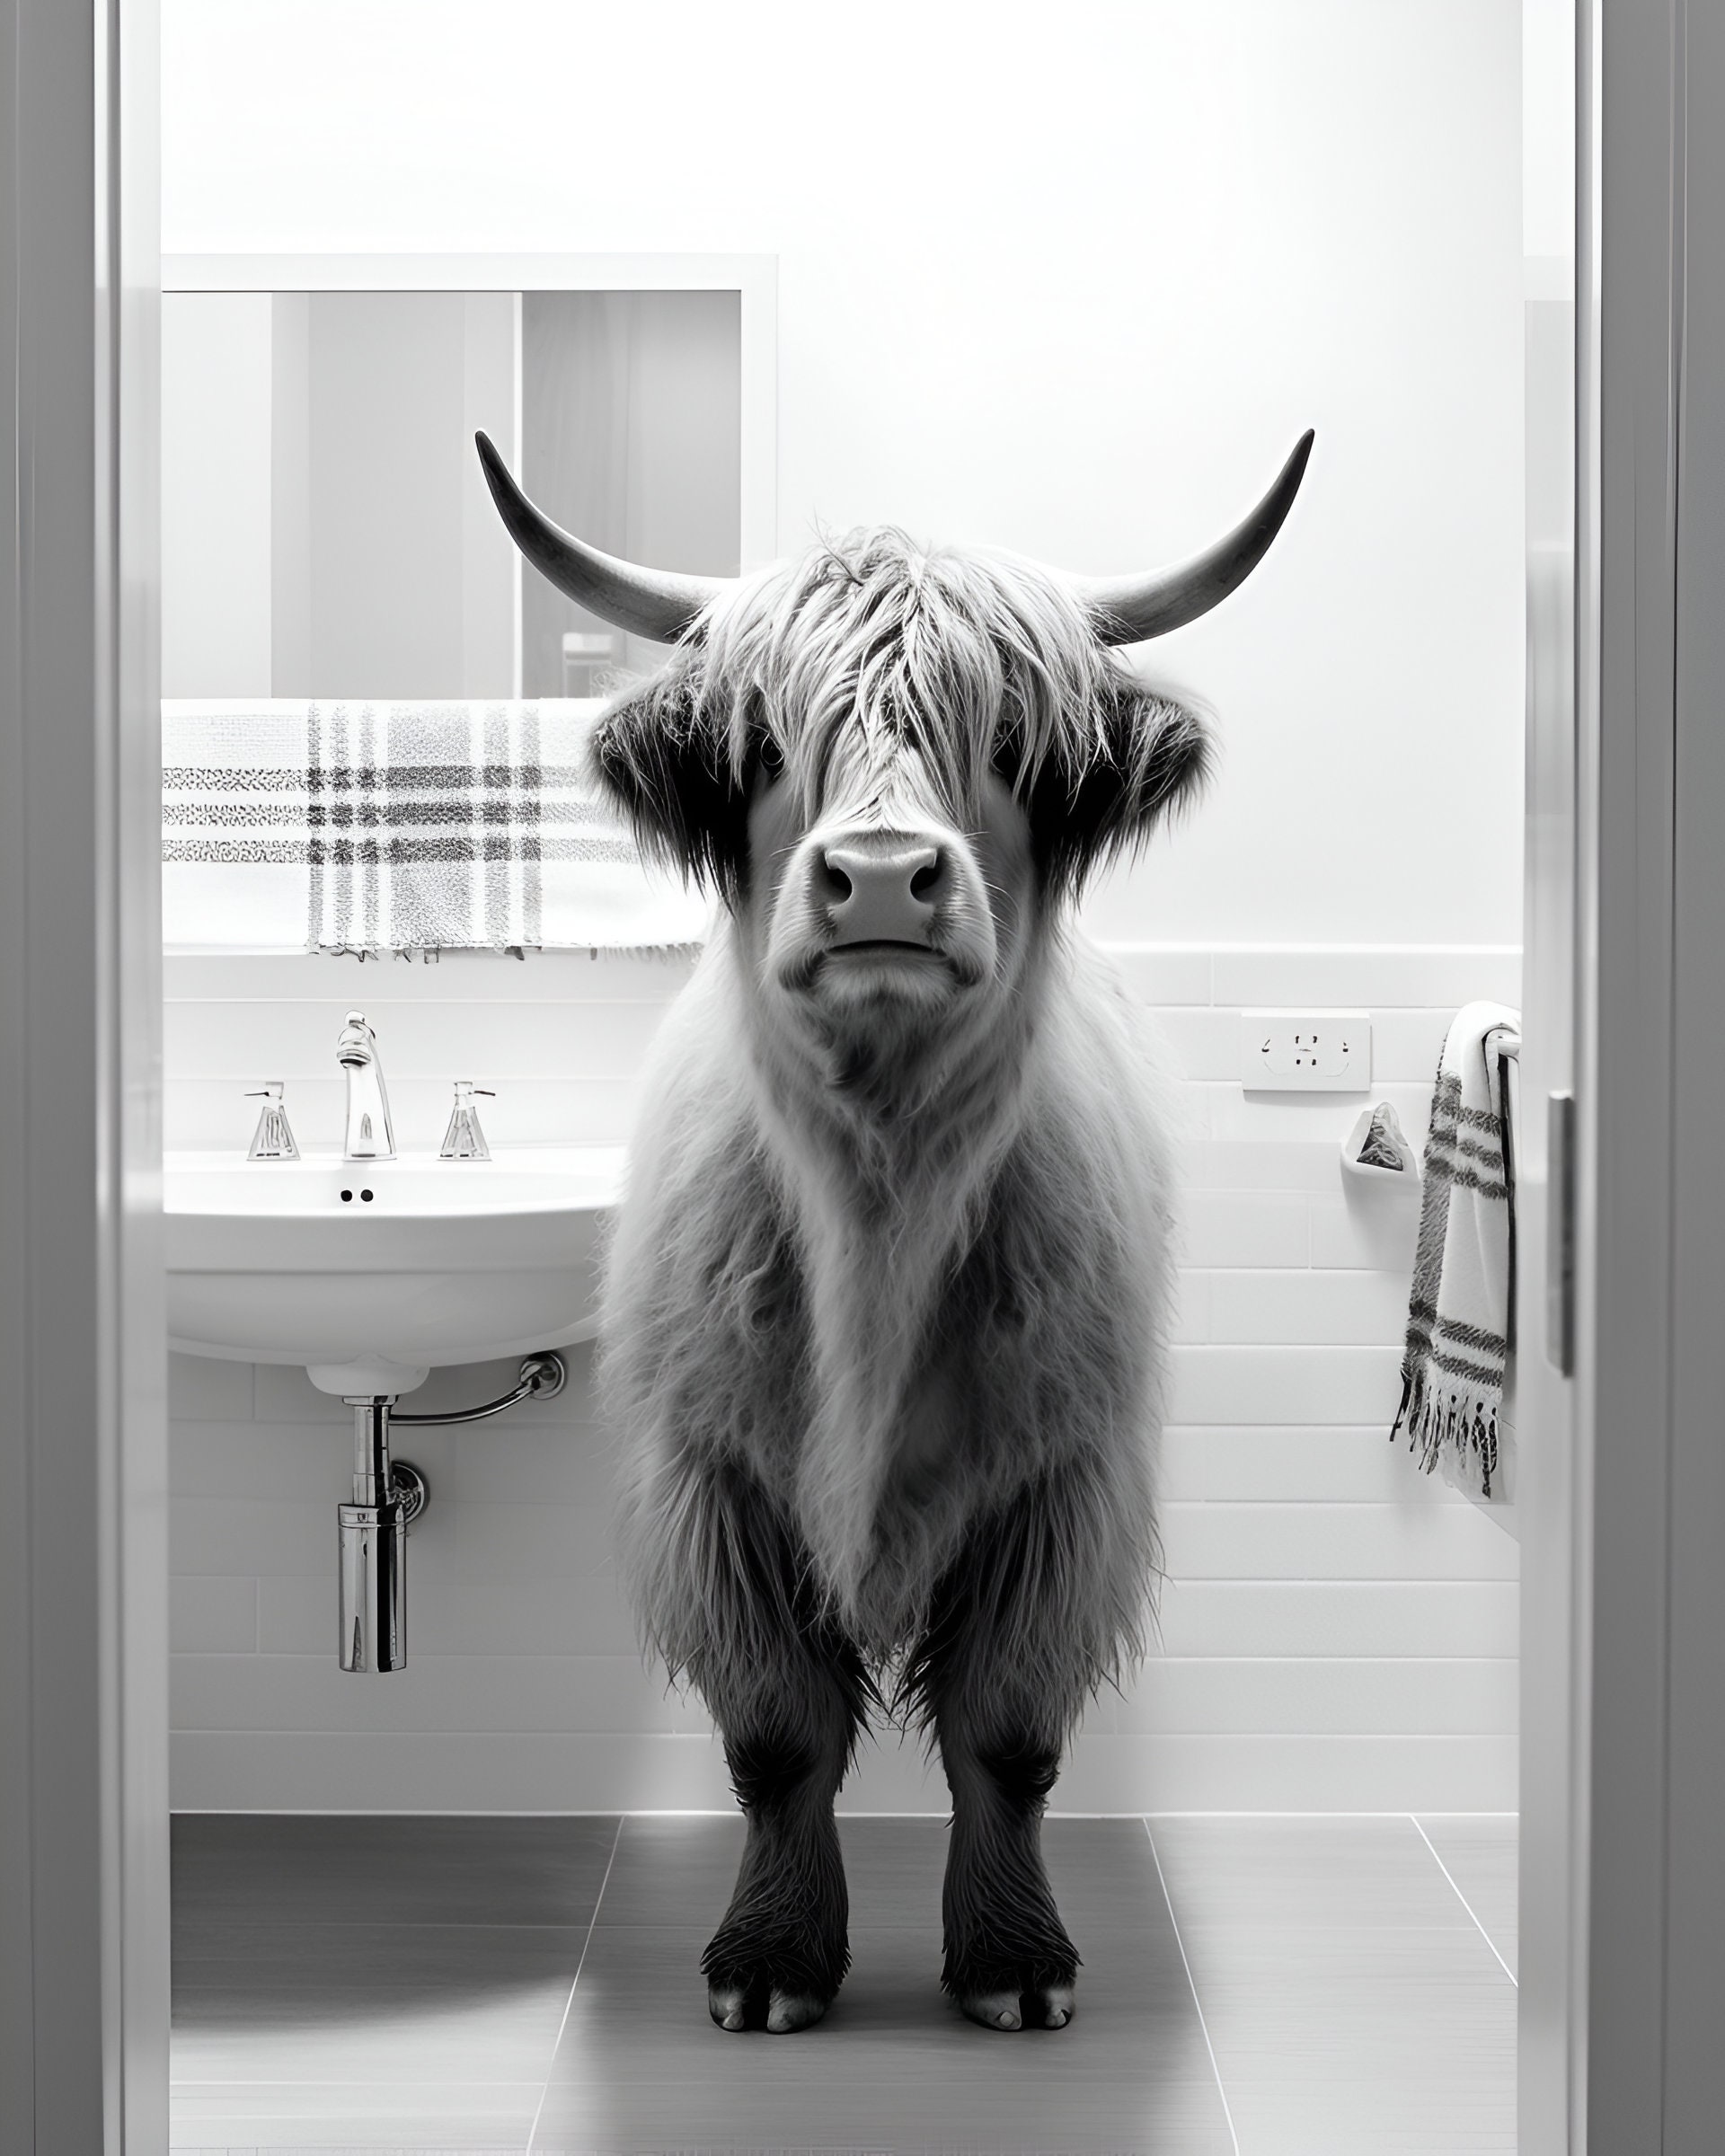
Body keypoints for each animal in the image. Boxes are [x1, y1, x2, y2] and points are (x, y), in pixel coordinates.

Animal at [478, 427, 1311, 2036]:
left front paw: (1014, 1963)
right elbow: (779, 1741)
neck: (880, 1205)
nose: (875, 876)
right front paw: (768, 1966)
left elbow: (1008, 1740)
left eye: (1010, 741)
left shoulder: (1062, 1487)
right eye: (764, 742)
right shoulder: (711, 1483)